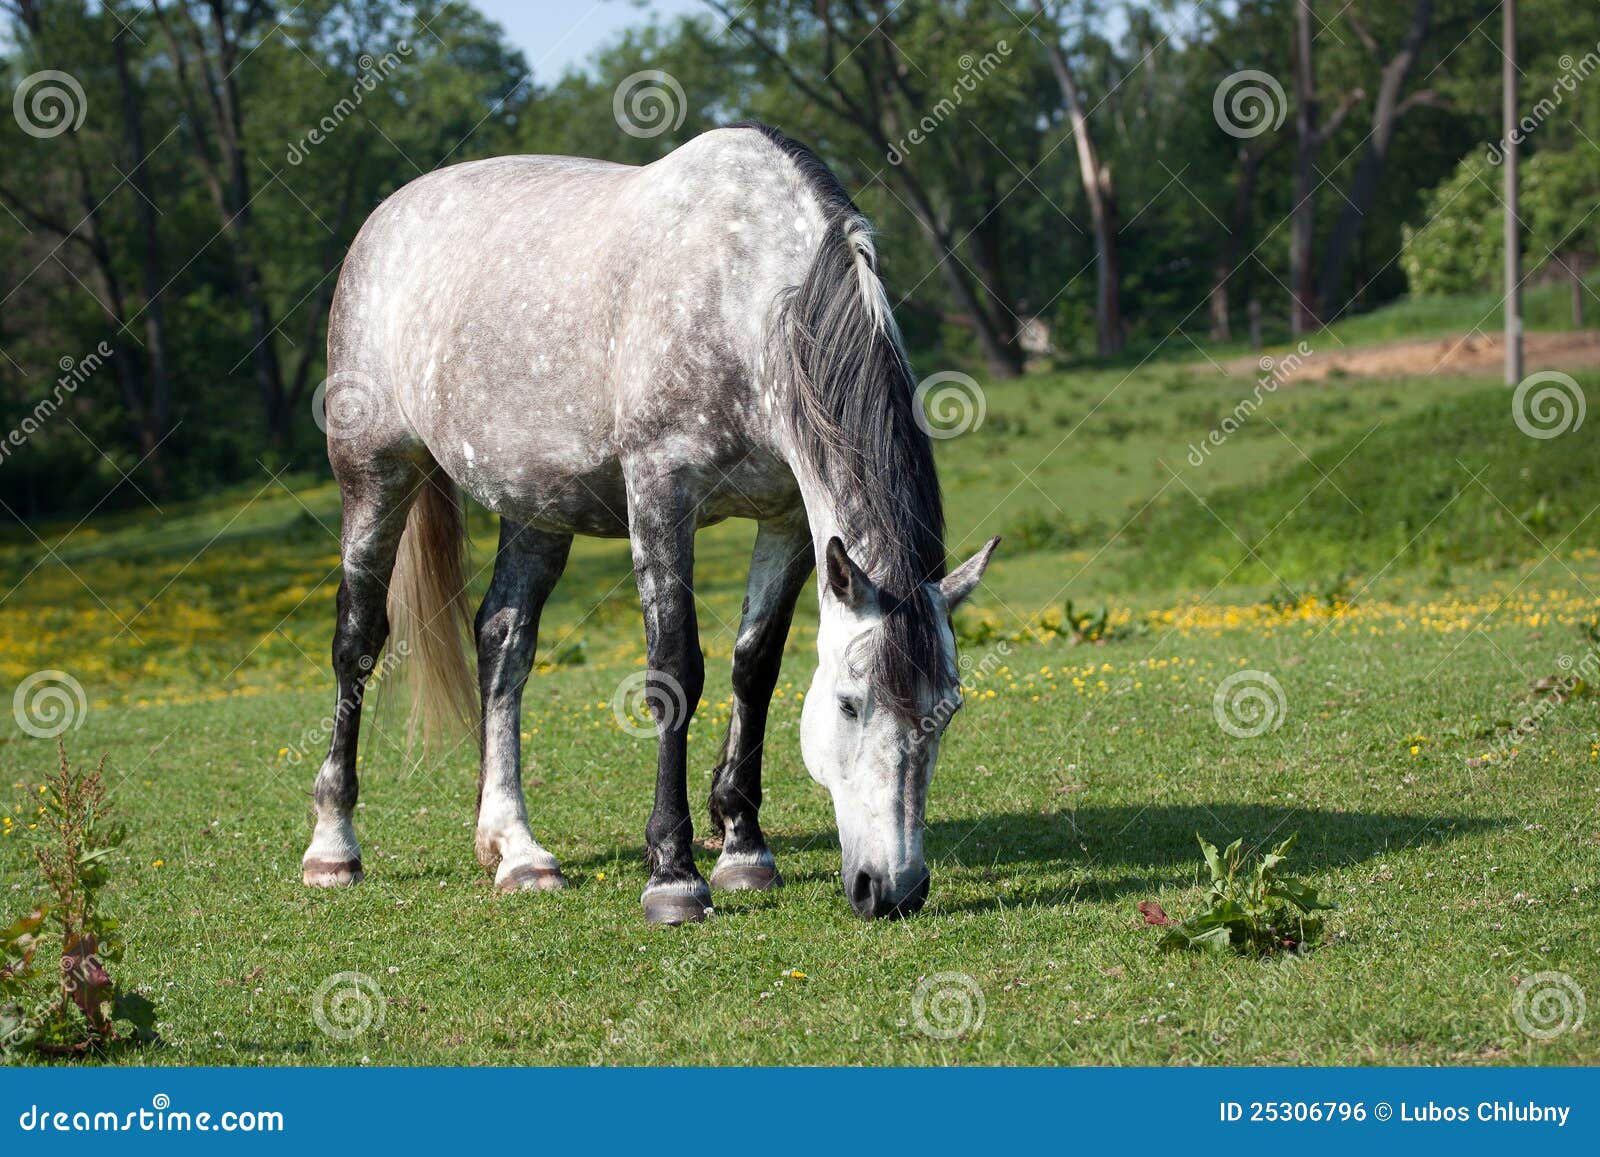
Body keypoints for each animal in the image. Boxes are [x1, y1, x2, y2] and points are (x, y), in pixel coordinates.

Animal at [300, 122, 999, 924]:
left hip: (535, 505)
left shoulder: (790, 519)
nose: (893, 889)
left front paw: (743, 847)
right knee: (357, 641)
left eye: (948, 710)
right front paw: (675, 873)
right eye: (850, 705)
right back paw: (333, 845)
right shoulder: (662, 494)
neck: (745, 292)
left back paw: (515, 847)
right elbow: (675, 670)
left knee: (502, 641)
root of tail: (384, 222)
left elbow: (754, 666)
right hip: (375, 474)